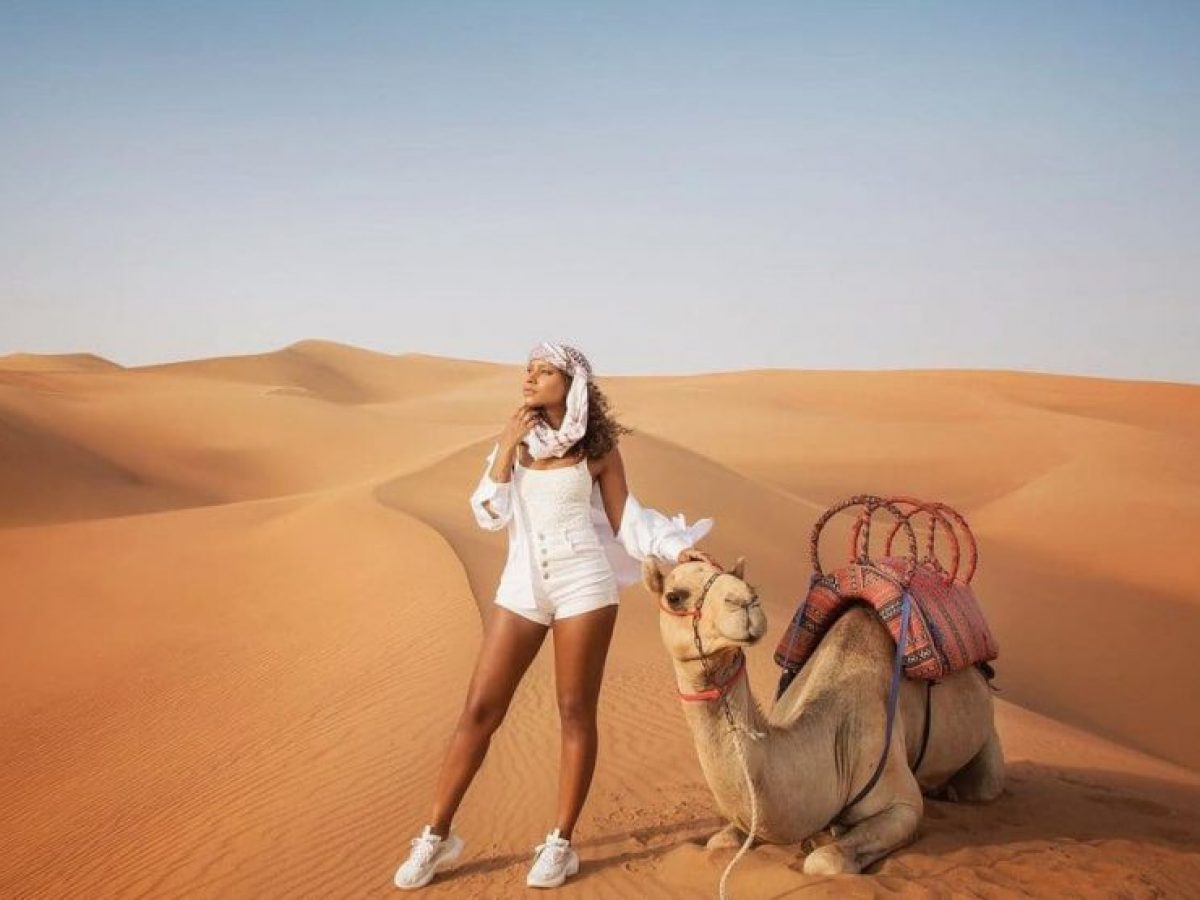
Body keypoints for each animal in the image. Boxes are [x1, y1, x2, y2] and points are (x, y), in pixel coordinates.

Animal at [644, 556, 1004, 875]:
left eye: (744, 582)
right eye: (674, 596)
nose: (746, 601)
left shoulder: (903, 803)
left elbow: (824, 861)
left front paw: (829, 841)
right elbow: (720, 841)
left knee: (983, 785)